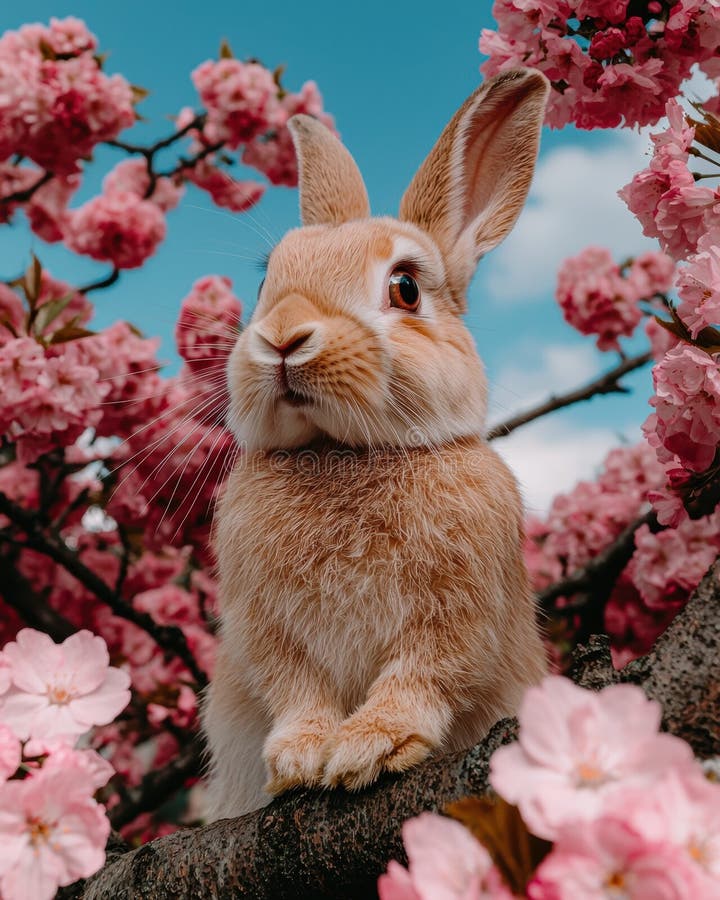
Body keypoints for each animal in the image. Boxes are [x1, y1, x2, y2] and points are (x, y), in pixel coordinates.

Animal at [202, 68, 550, 821]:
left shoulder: (461, 615)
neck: (346, 455)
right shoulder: (263, 631)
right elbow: (294, 688)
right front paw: (301, 758)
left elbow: (427, 675)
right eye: (267, 278)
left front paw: (369, 748)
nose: (283, 337)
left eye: (407, 288)